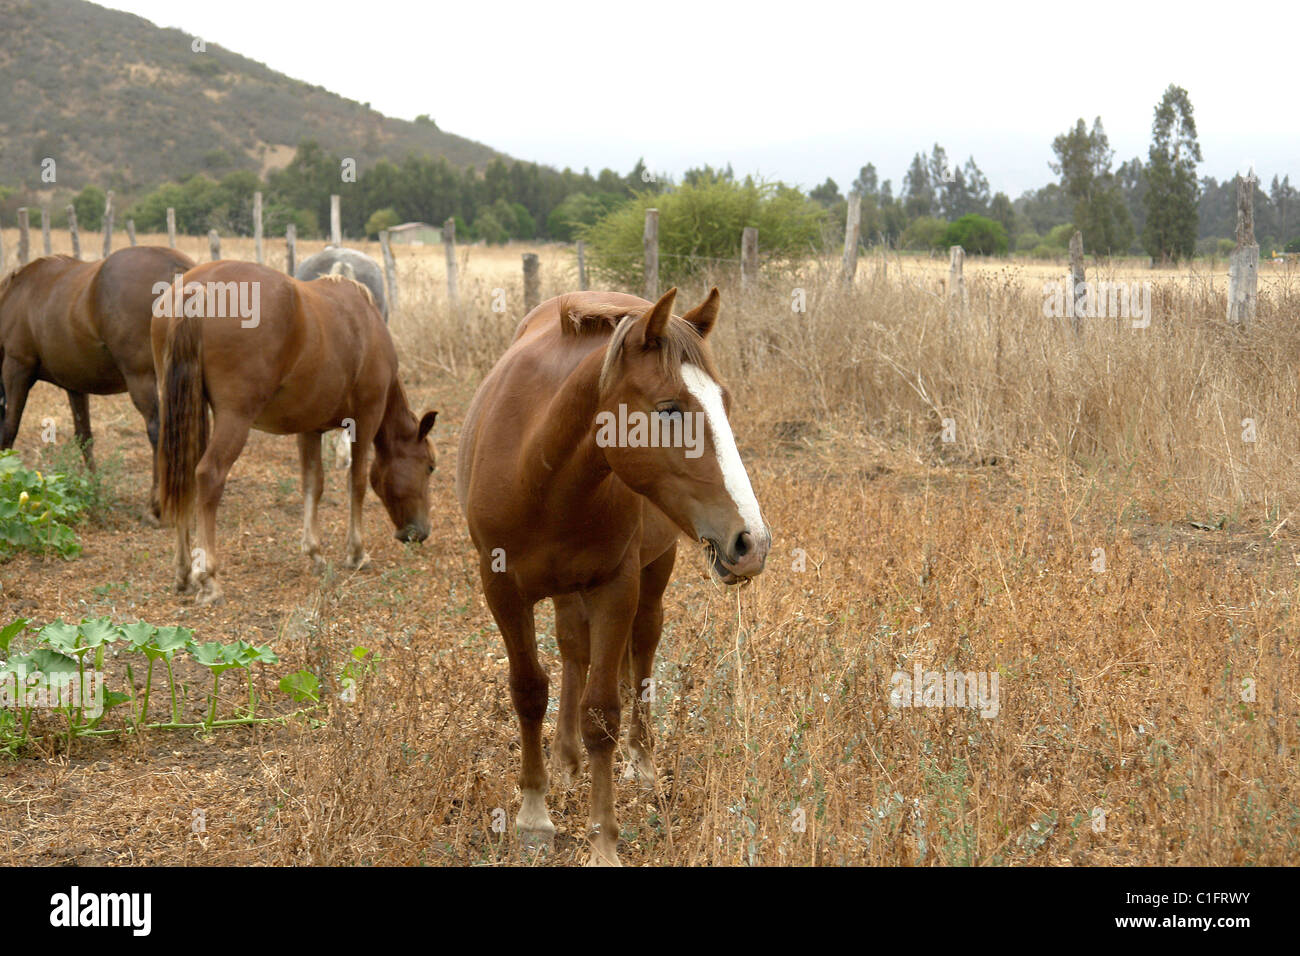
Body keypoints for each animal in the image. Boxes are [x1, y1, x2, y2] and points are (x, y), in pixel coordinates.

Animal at [0, 246, 195, 524]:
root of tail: (178, 269)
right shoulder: (75, 385)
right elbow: (85, 437)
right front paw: (93, 489)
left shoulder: (17, 367)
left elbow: (9, 428)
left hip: (142, 379)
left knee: (158, 430)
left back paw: (156, 505)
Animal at [153, 260, 436, 606]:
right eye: (430, 467)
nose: (420, 532)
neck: (365, 324)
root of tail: (198, 288)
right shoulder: (366, 418)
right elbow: (356, 483)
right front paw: (356, 553)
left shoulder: (310, 428)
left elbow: (313, 485)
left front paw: (314, 552)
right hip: (235, 418)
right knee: (208, 475)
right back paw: (208, 578)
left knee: (180, 477)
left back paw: (183, 571)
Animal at [456, 286, 770, 866]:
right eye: (669, 409)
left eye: (725, 403)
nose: (751, 543)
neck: (537, 470)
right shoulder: (502, 590)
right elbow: (529, 690)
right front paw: (534, 813)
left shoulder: (615, 589)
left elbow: (603, 712)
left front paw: (603, 841)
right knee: (571, 649)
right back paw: (566, 759)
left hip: (652, 574)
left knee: (641, 651)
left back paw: (641, 763)